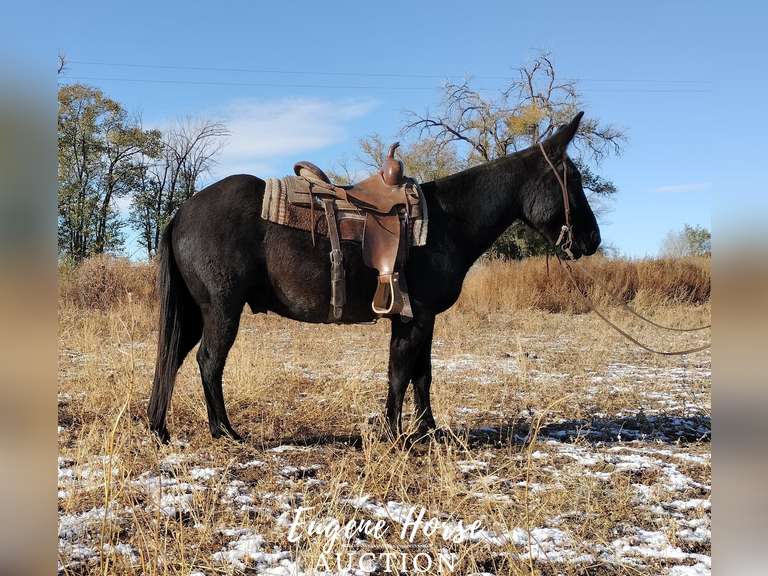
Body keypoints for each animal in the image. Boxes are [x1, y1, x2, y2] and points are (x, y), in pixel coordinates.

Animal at [147, 112, 600, 443]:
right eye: (573, 178)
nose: (592, 239)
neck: (448, 221)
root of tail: (183, 211)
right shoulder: (415, 317)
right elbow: (401, 373)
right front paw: (396, 434)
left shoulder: (421, 318)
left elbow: (421, 375)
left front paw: (428, 431)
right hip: (221, 309)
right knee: (209, 361)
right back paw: (224, 431)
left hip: (195, 311)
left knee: (174, 358)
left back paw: (161, 428)